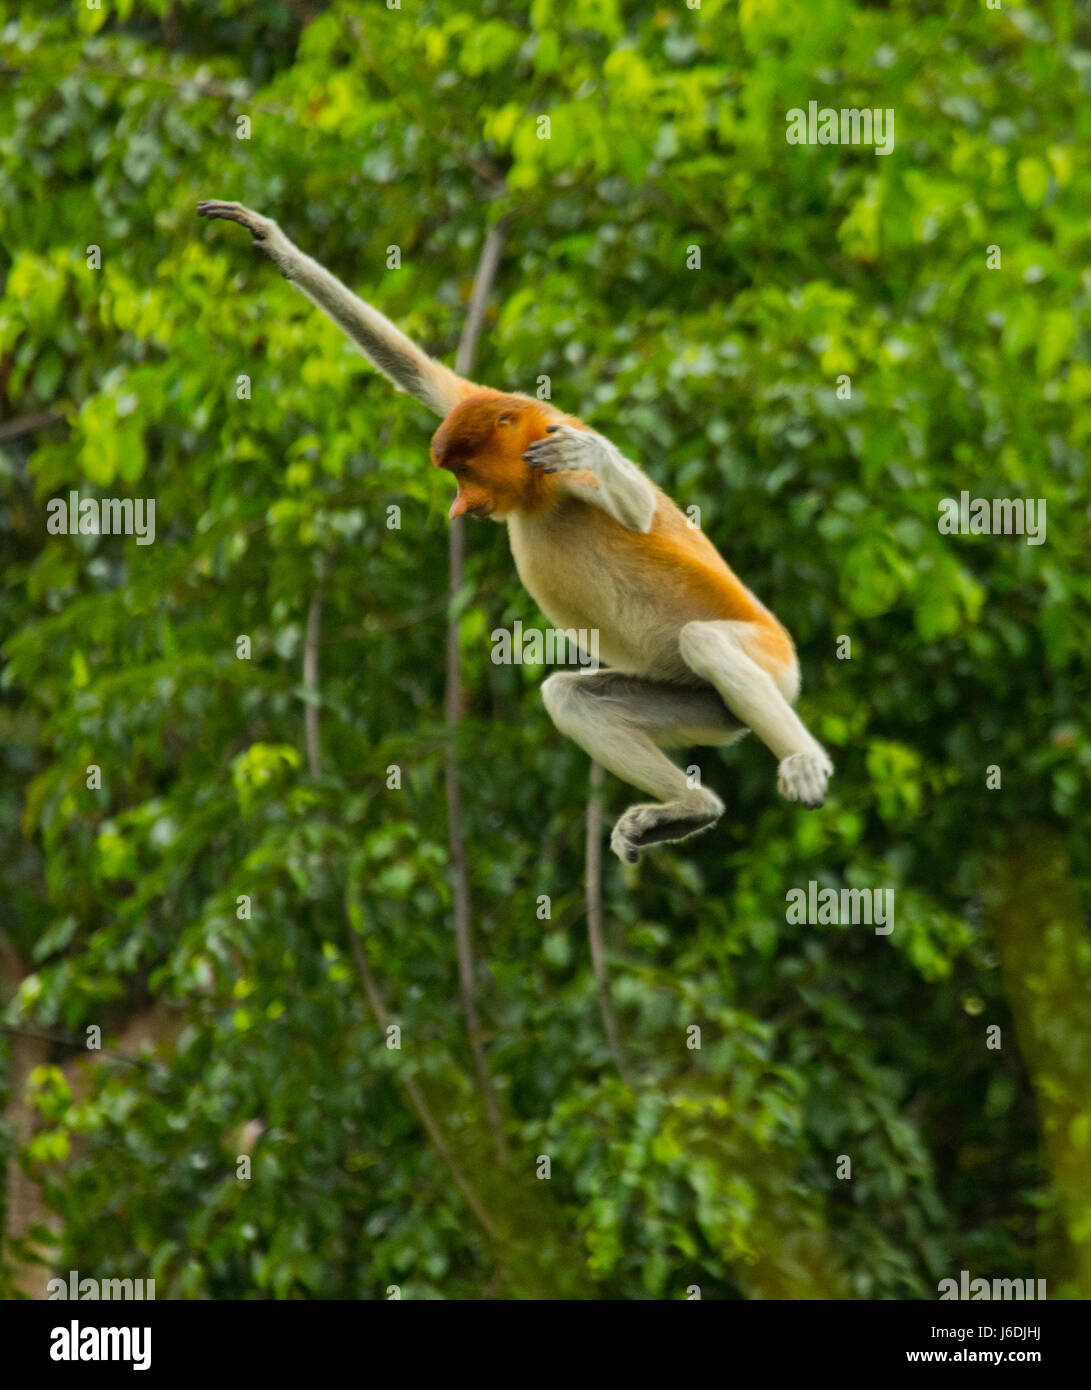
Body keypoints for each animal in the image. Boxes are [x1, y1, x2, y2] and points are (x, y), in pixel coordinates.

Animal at [198, 201, 833, 862]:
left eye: (466, 472)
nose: (459, 507)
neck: (533, 496)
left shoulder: (557, 463)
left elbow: (635, 509)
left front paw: (595, 454)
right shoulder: (484, 402)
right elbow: (418, 372)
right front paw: (271, 240)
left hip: (773, 663)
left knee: (705, 642)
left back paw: (801, 763)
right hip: (704, 704)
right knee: (572, 696)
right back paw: (691, 808)